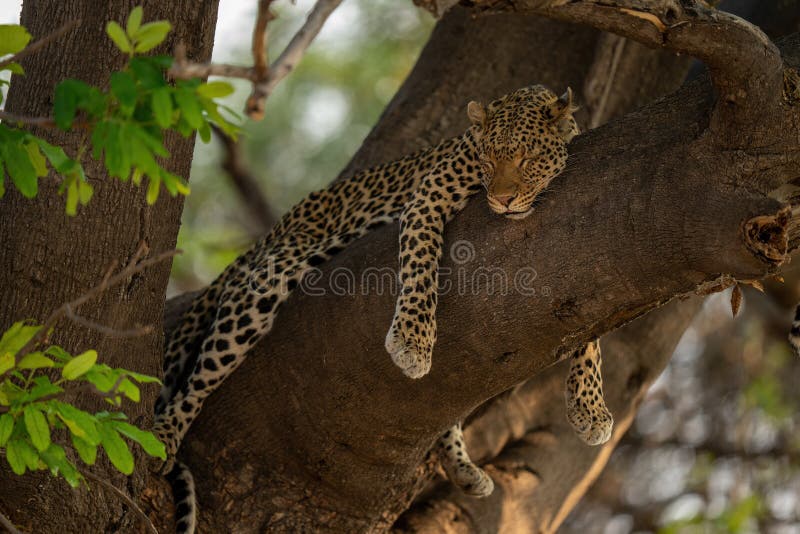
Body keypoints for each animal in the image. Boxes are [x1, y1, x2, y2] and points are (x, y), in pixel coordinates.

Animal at [154, 85, 614, 534]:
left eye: (527, 158)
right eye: (487, 159)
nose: (502, 200)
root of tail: (278, 226)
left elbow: (593, 321)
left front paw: (590, 407)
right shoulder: (428, 197)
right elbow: (420, 265)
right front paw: (412, 340)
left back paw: (463, 467)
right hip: (270, 277)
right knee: (199, 378)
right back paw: (165, 432)